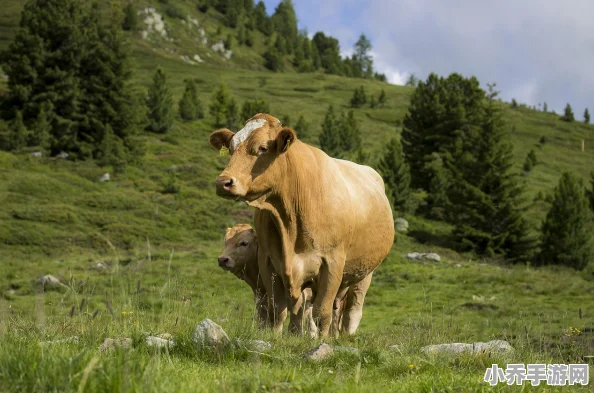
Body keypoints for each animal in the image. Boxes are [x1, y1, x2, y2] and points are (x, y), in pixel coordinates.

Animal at [208, 113, 394, 336]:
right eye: (231, 147)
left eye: (262, 147)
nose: (223, 182)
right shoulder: (269, 263)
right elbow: (281, 311)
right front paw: (284, 337)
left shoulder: (332, 263)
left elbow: (321, 313)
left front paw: (320, 340)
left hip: (365, 273)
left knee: (352, 311)